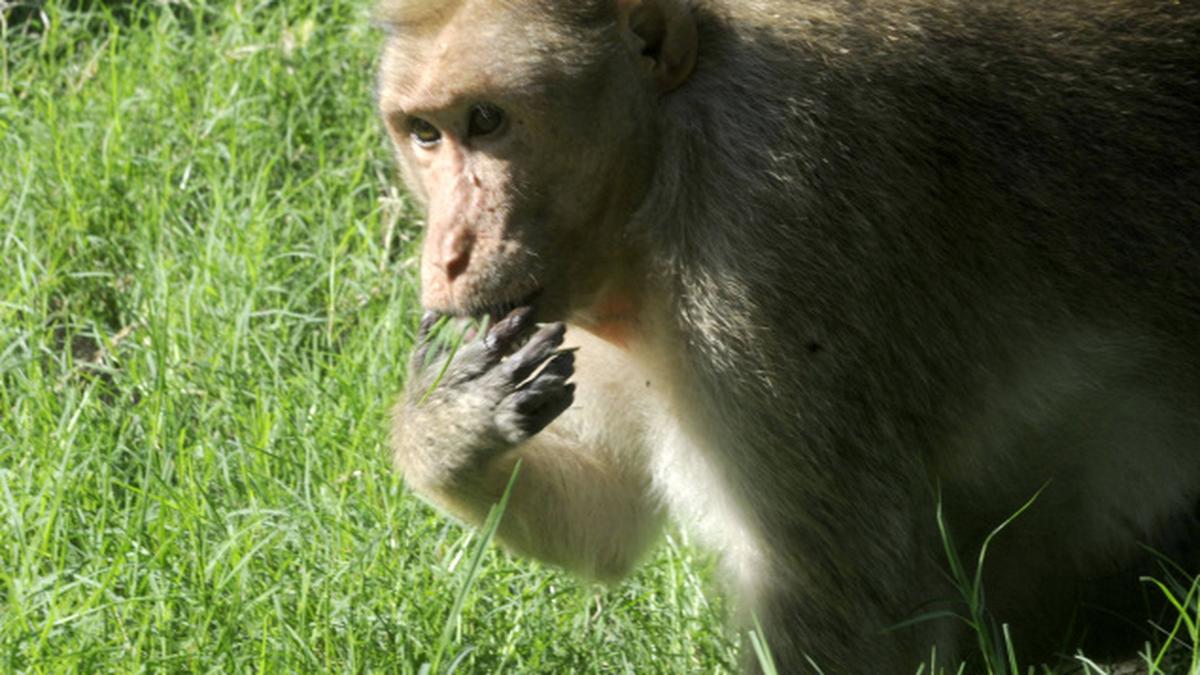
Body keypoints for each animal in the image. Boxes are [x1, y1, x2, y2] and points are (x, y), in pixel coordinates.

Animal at [376, 0, 1200, 671]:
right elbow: (612, 520)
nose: (446, 255)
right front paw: (448, 425)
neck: (662, 163)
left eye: (488, 120)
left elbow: (844, 597)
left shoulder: (768, 234)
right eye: (425, 132)